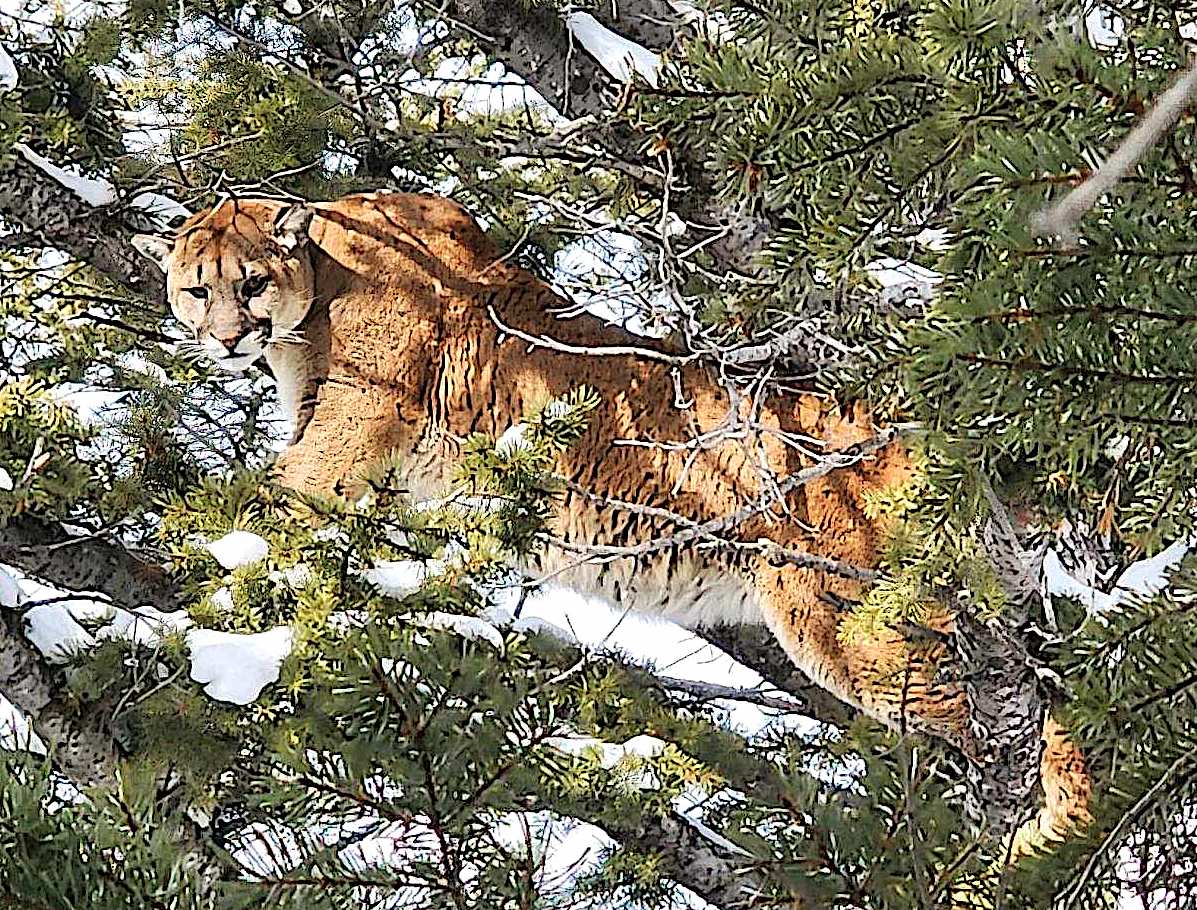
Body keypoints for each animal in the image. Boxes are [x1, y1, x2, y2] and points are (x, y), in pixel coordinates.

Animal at [132, 190, 1090, 861]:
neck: (323, 284)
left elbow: (272, 494)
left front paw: (200, 545)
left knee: (1025, 719)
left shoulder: (356, 419)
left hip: (847, 616)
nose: (225, 340)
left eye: (252, 282)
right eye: (196, 289)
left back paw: (1044, 840)